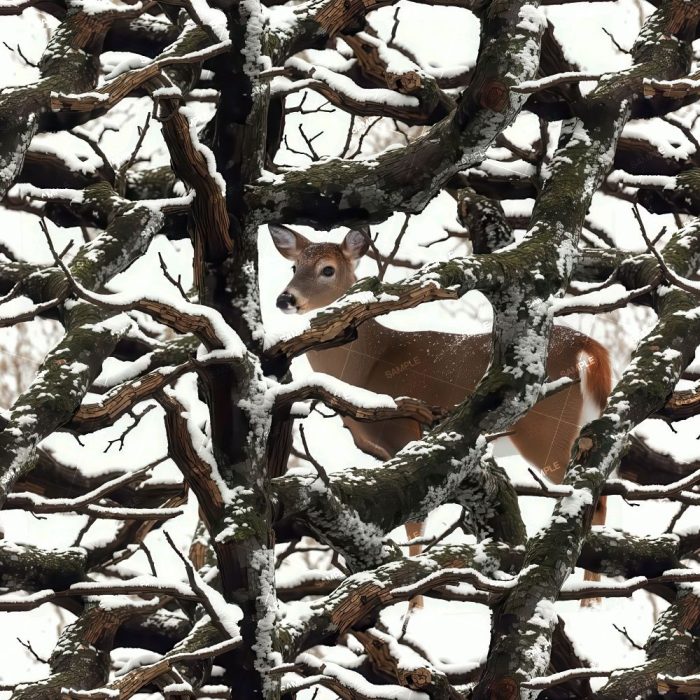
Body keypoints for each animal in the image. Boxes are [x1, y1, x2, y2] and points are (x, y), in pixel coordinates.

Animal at [271, 224, 612, 602]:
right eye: (294, 267)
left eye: (327, 270)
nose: (285, 299)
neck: (368, 367)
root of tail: (589, 348)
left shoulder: (404, 434)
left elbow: (415, 525)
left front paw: (413, 600)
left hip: (546, 430)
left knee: (590, 499)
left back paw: (591, 597)